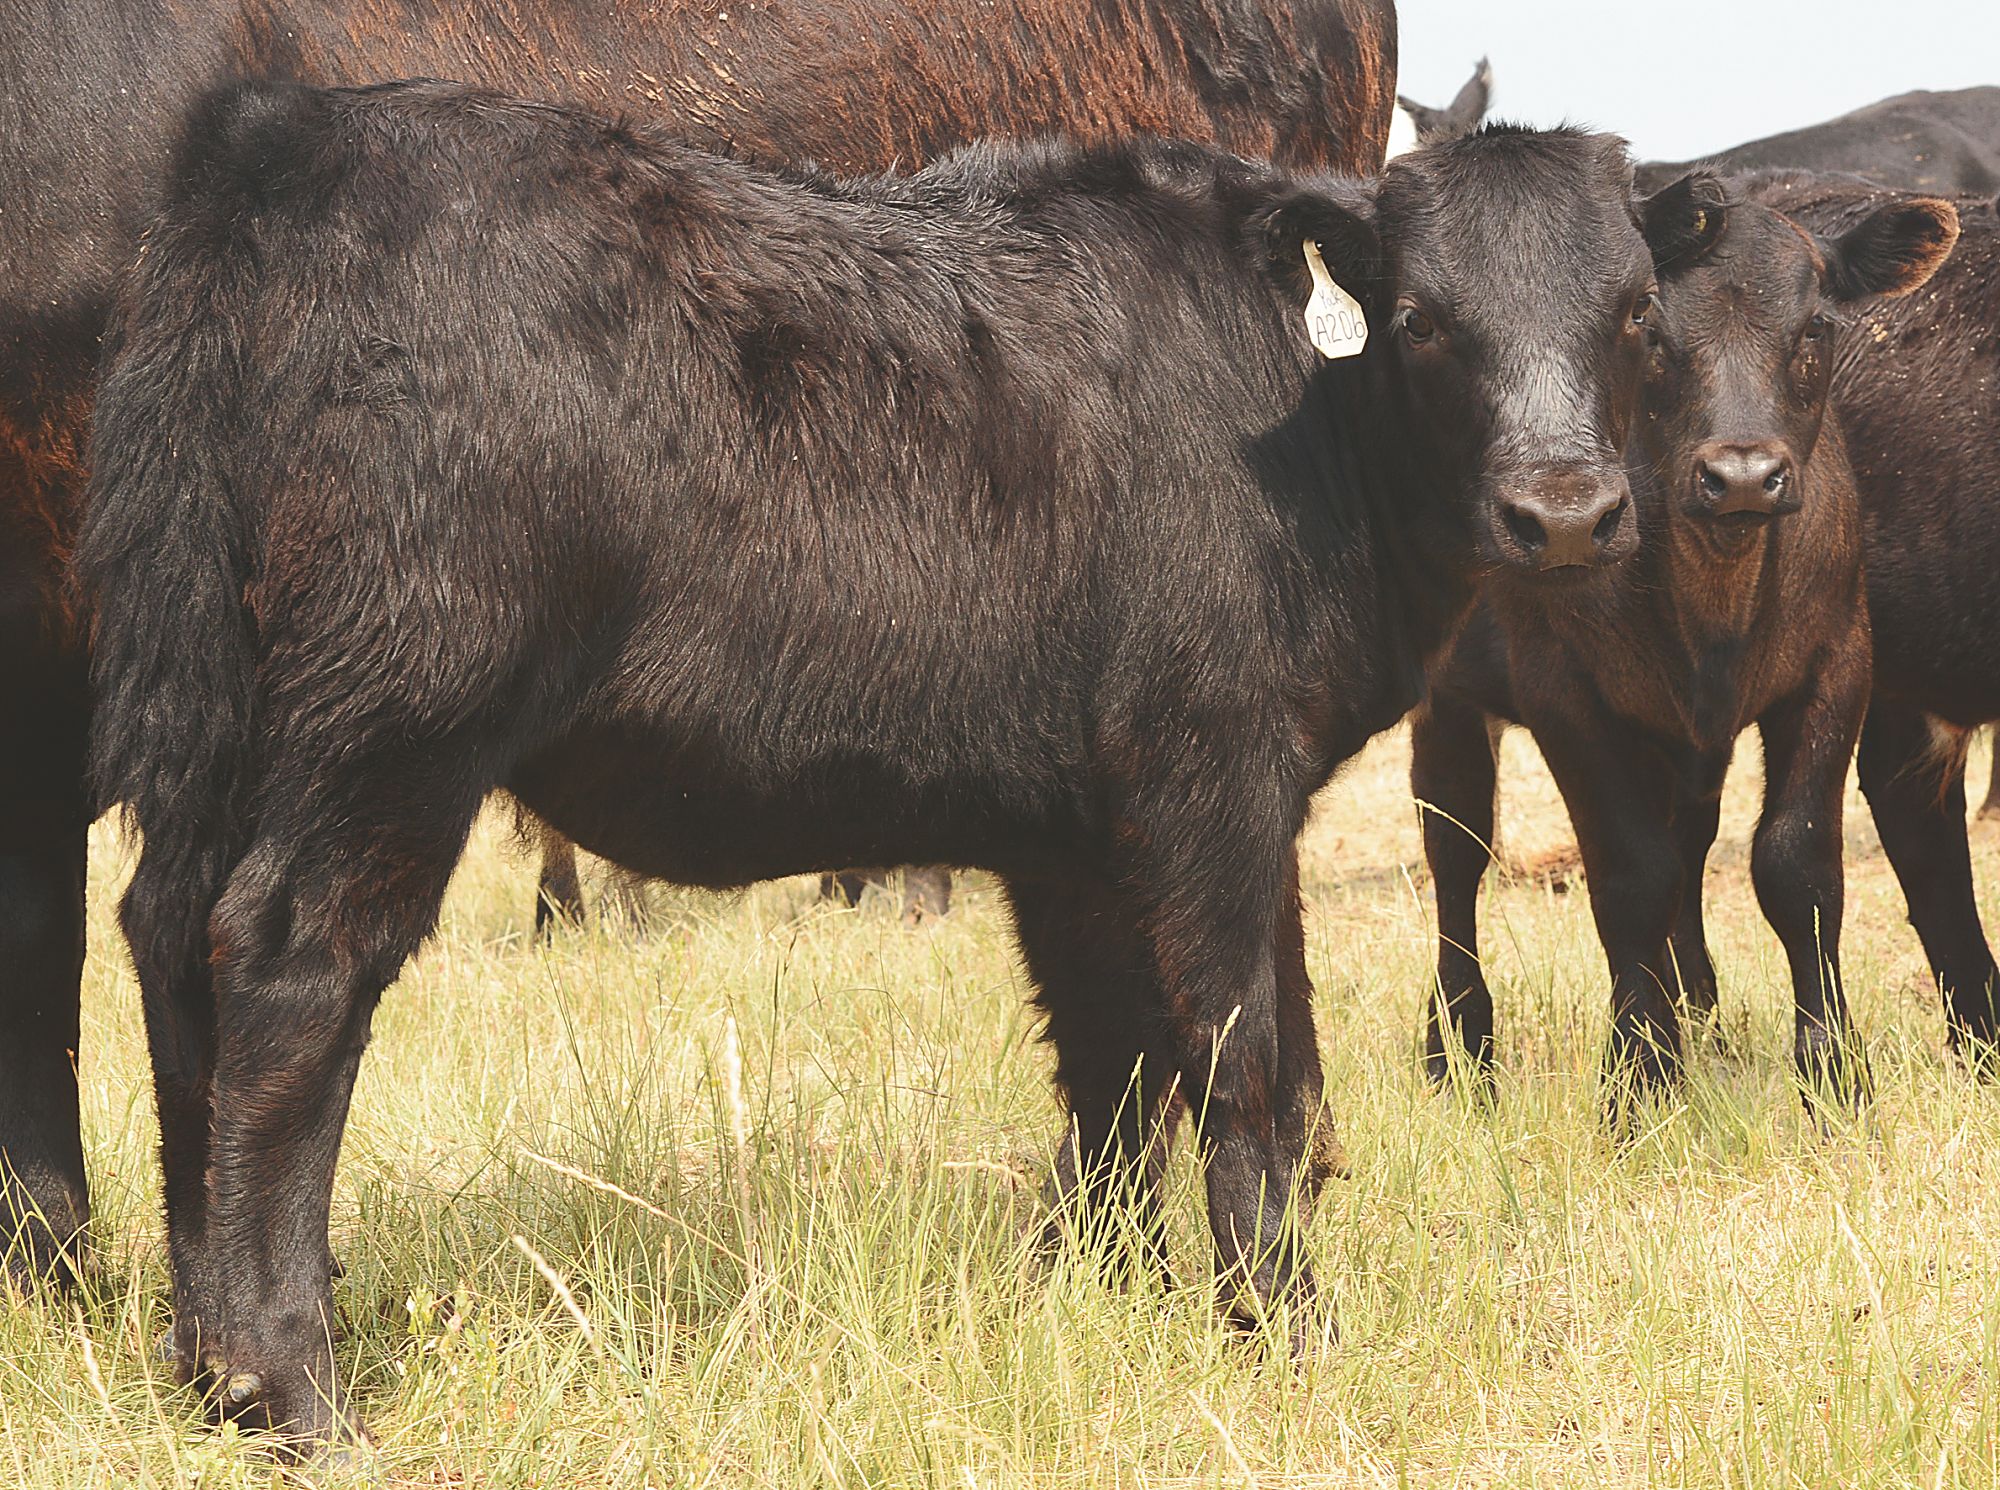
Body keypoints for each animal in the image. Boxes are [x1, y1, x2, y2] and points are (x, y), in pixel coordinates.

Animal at [80, 81, 1688, 1447]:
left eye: (1634, 312)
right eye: (1421, 320)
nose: (1563, 511)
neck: (1304, 427)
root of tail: (285, 143)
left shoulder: (1077, 833)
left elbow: (1113, 1066)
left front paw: (1094, 1297)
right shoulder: (1211, 772)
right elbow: (1244, 1059)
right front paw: (1284, 1328)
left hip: (216, 715)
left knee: (168, 941)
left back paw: (199, 1357)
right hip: (396, 719)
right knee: (286, 964)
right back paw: (289, 1382)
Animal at [1411, 179, 1960, 1101]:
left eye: (1816, 327)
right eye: (1650, 328)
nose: (1741, 476)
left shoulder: (1838, 664)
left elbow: (1797, 864)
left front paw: (1833, 1073)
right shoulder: (1565, 693)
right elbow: (1633, 877)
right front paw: (1638, 1079)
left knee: (1689, 834)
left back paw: (1693, 1003)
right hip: (1447, 699)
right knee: (1454, 846)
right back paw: (1459, 1046)